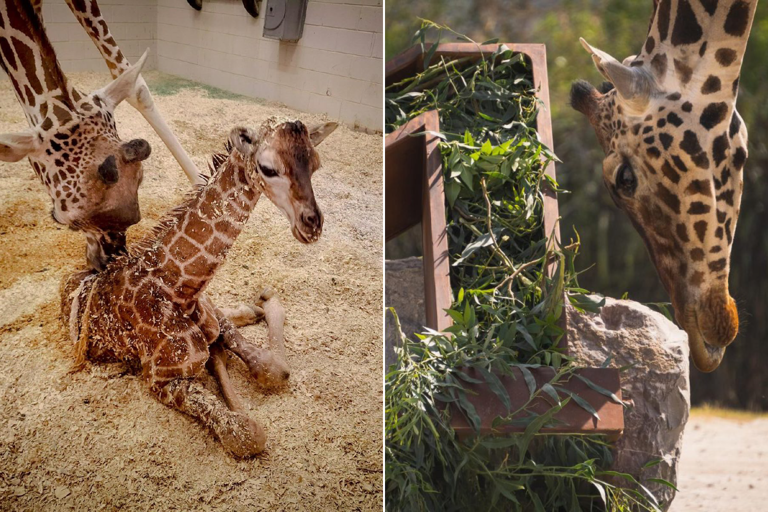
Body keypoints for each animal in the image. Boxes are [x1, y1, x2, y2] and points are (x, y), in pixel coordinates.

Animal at [60, 118, 338, 457]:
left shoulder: (215, 322)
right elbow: (247, 434)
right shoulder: (162, 380)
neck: (178, 288)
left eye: (316, 163)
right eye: (268, 168)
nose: (311, 225)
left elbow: (273, 368)